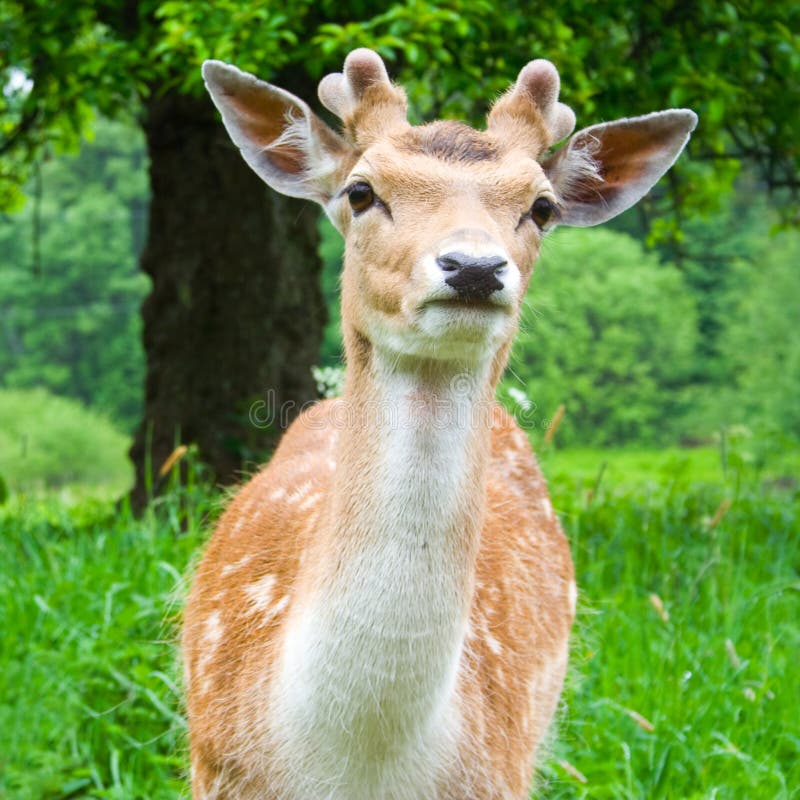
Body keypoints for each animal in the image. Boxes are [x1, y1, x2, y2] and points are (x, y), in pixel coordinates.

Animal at [182, 48, 696, 799]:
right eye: (360, 192)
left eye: (542, 206)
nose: (475, 267)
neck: (358, 764)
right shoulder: (214, 766)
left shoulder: (503, 770)